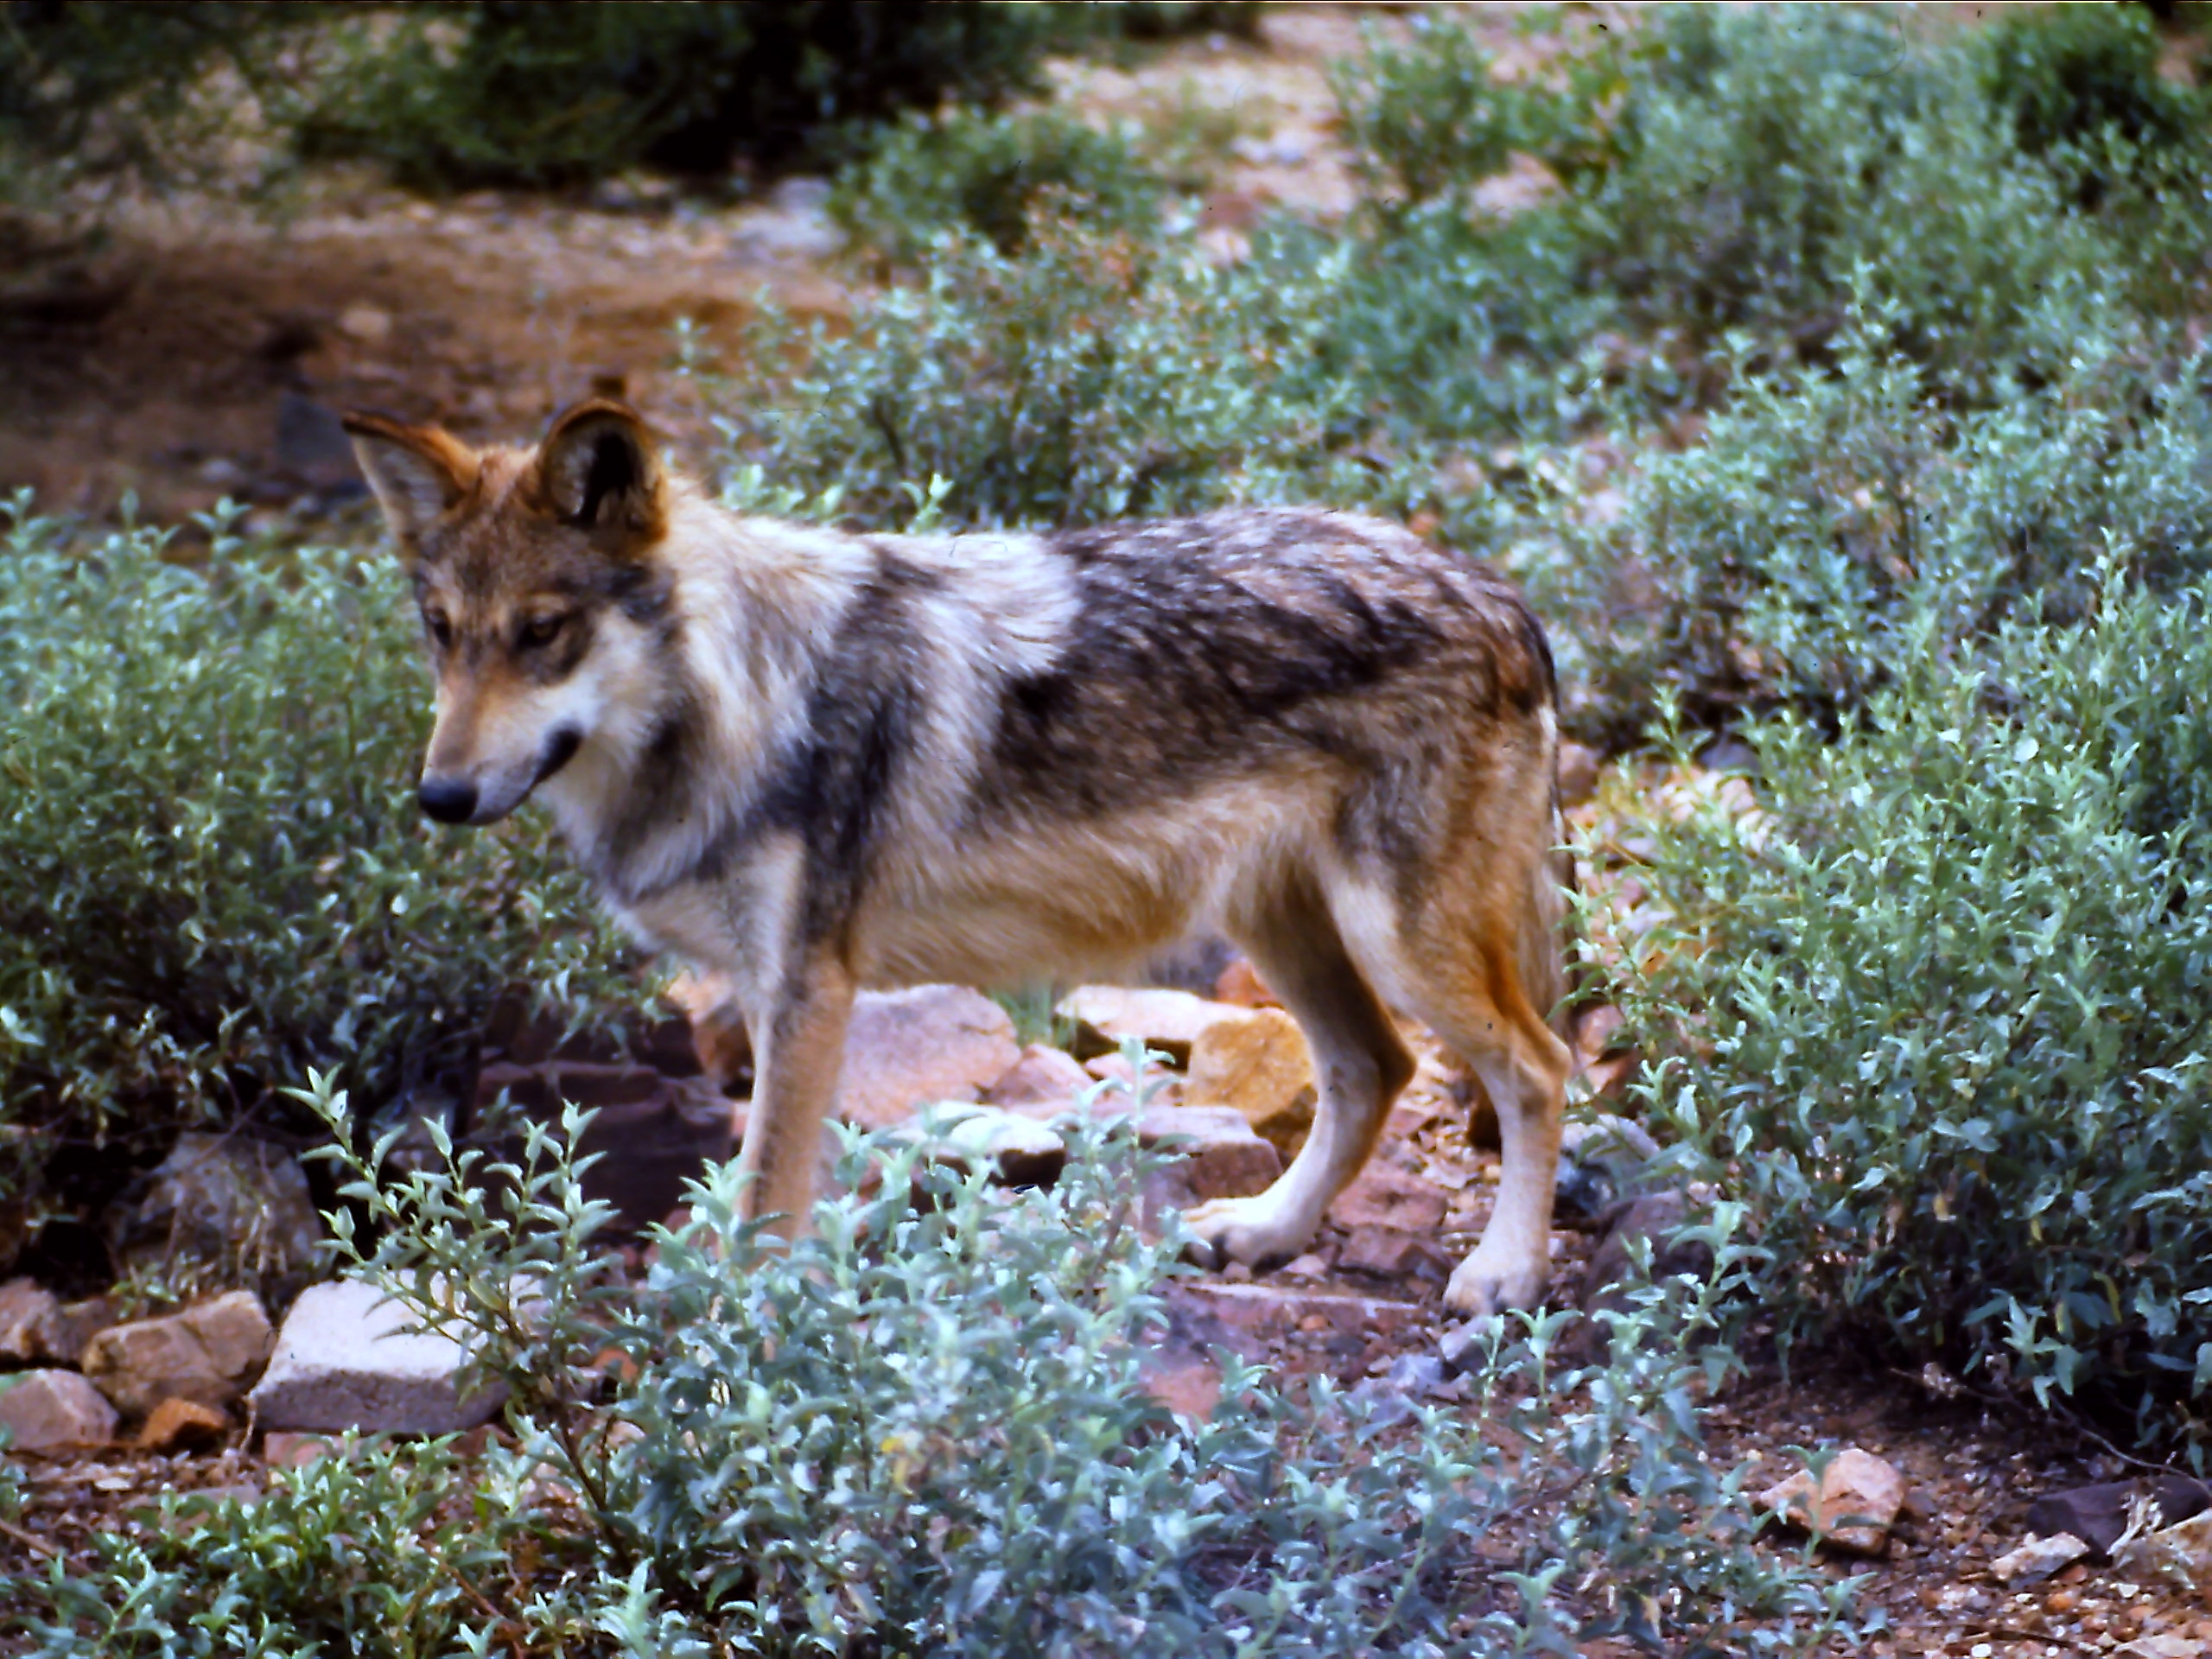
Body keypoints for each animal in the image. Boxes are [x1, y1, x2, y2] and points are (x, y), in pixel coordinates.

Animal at [344, 399, 1573, 1316]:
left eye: (543, 632)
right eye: (442, 632)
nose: (438, 797)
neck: (747, 697)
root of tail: (1502, 594)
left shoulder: (806, 987)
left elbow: (762, 1209)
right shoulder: (775, 995)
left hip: (1397, 940)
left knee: (1536, 1067)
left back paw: (1502, 1274)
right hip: (1285, 929)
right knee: (1375, 1070)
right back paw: (1268, 1231)